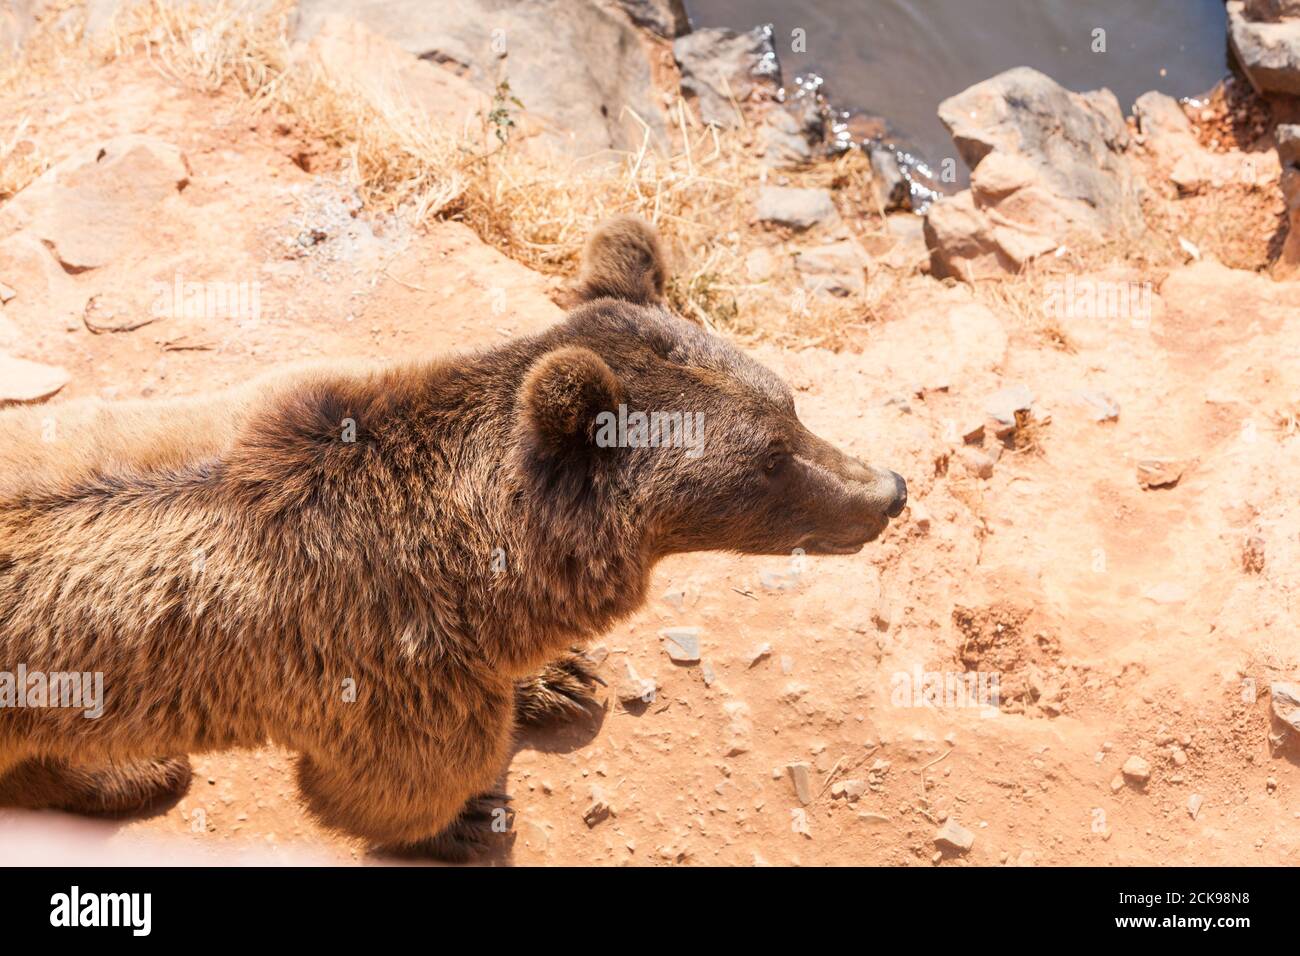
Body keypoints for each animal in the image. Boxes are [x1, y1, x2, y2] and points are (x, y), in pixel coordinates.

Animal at [0, 216, 906, 860]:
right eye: (772, 457)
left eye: (792, 407)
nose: (889, 492)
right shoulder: (388, 668)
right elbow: (403, 779)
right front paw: (463, 820)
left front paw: (559, 678)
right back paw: (131, 772)